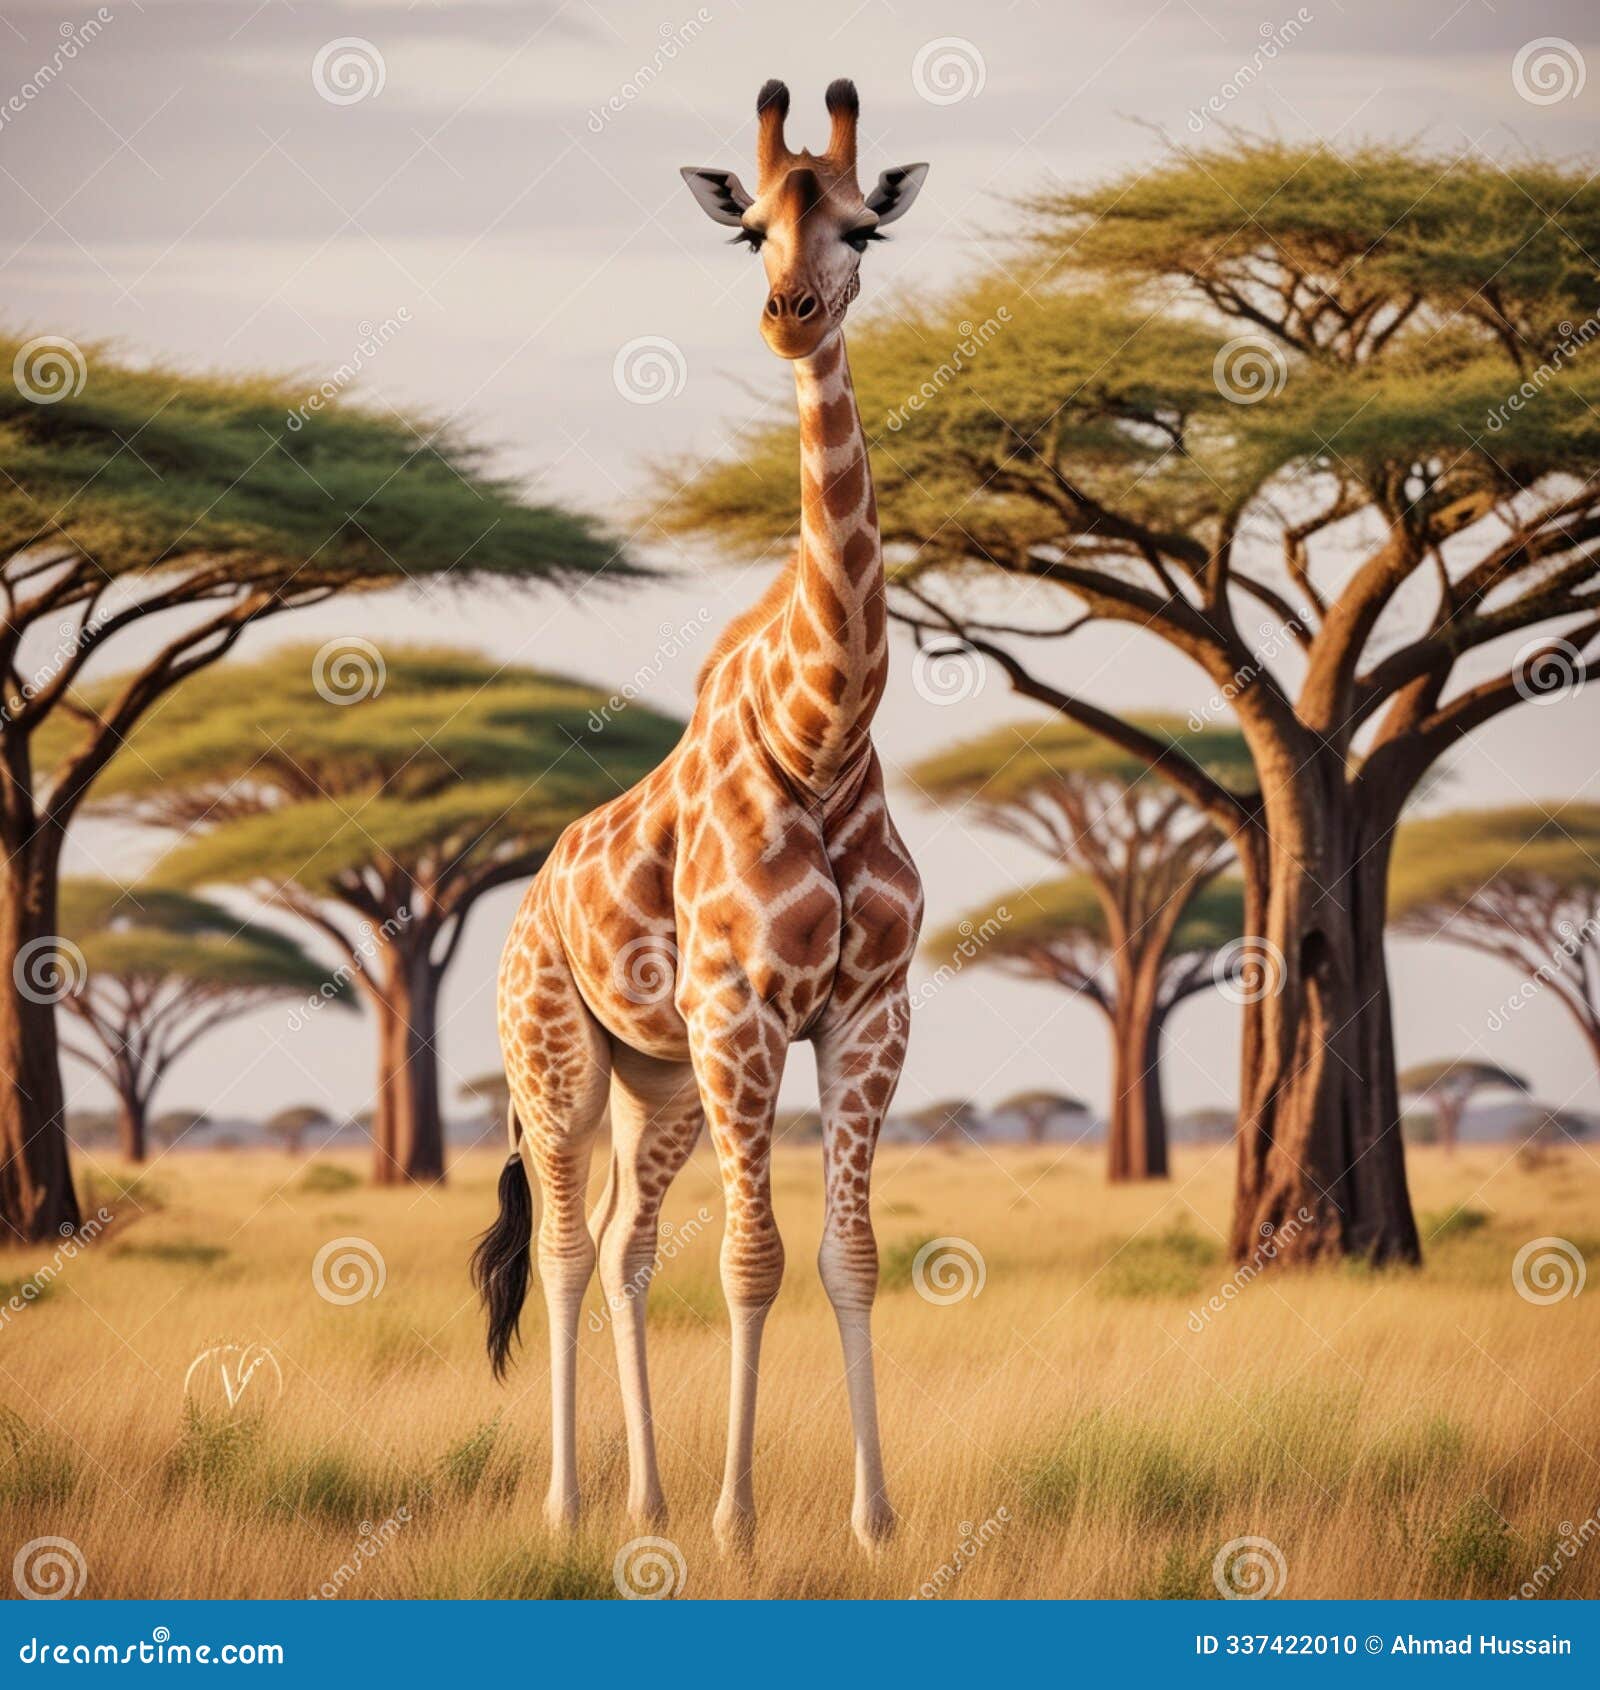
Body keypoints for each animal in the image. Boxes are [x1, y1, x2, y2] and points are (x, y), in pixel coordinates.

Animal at [473, 77, 928, 1555]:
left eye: (862, 227)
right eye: (749, 231)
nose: (791, 310)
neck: (822, 735)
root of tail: (523, 906)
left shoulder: (868, 1010)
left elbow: (849, 1256)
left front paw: (874, 1520)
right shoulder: (743, 1009)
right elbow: (754, 1257)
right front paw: (740, 1523)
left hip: (654, 1079)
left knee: (626, 1245)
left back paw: (647, 1499)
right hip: (555, 1064)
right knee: (566, 1249)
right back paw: (570, 1504)